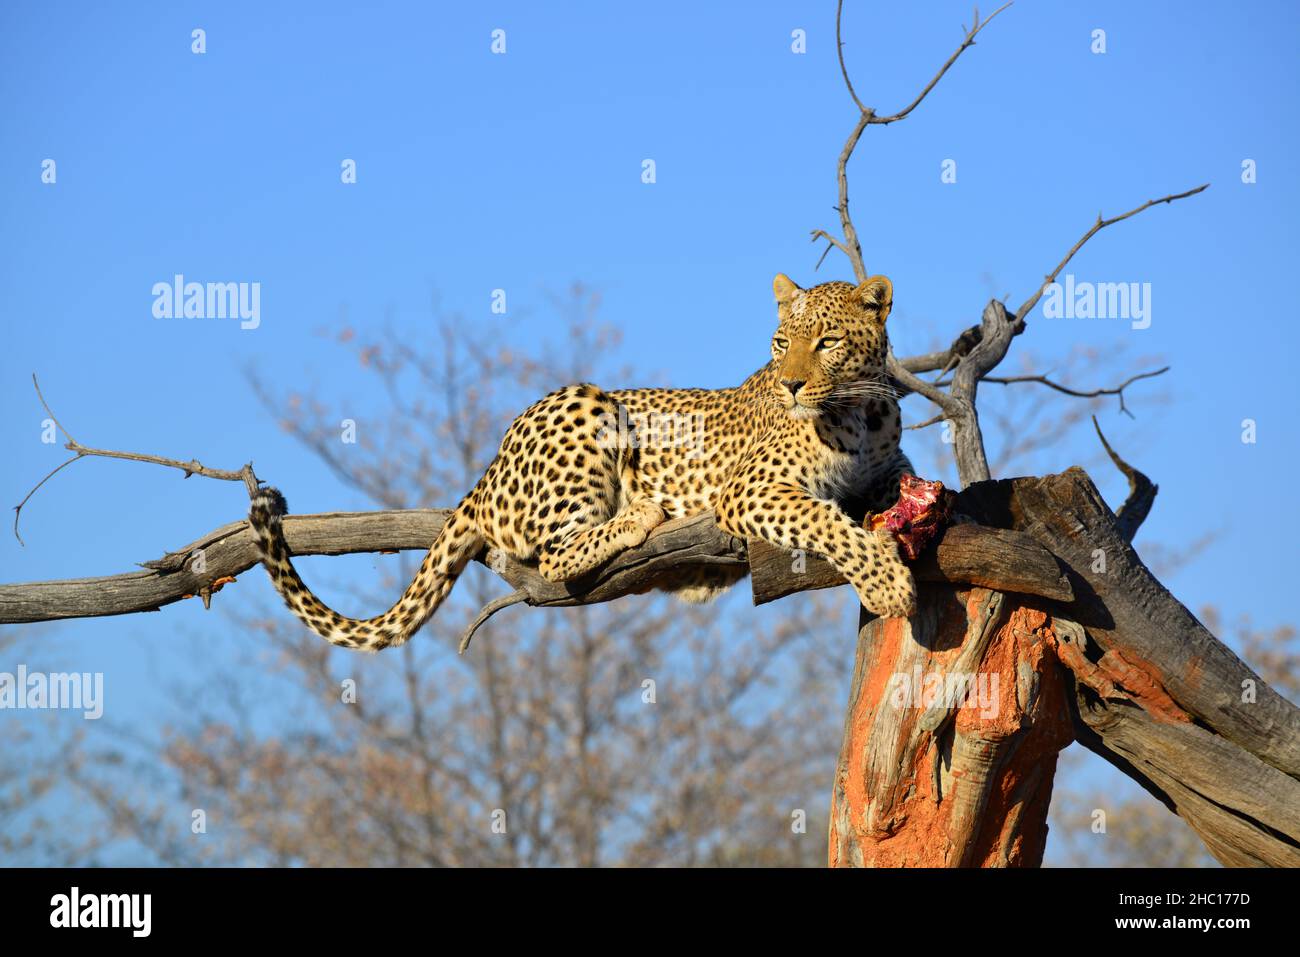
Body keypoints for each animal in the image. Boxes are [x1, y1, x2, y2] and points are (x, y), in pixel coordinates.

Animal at [248, 273, 918, 651]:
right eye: (782, 343)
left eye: (827, 342)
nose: (791, 385)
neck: (859, 413)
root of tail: (486, 471)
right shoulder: (749, 489)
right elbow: (824, 520)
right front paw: (887, 584)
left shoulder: (885, 466)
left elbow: (902, 482)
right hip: (586, 403)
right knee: (552, 554)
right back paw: (639, 515)